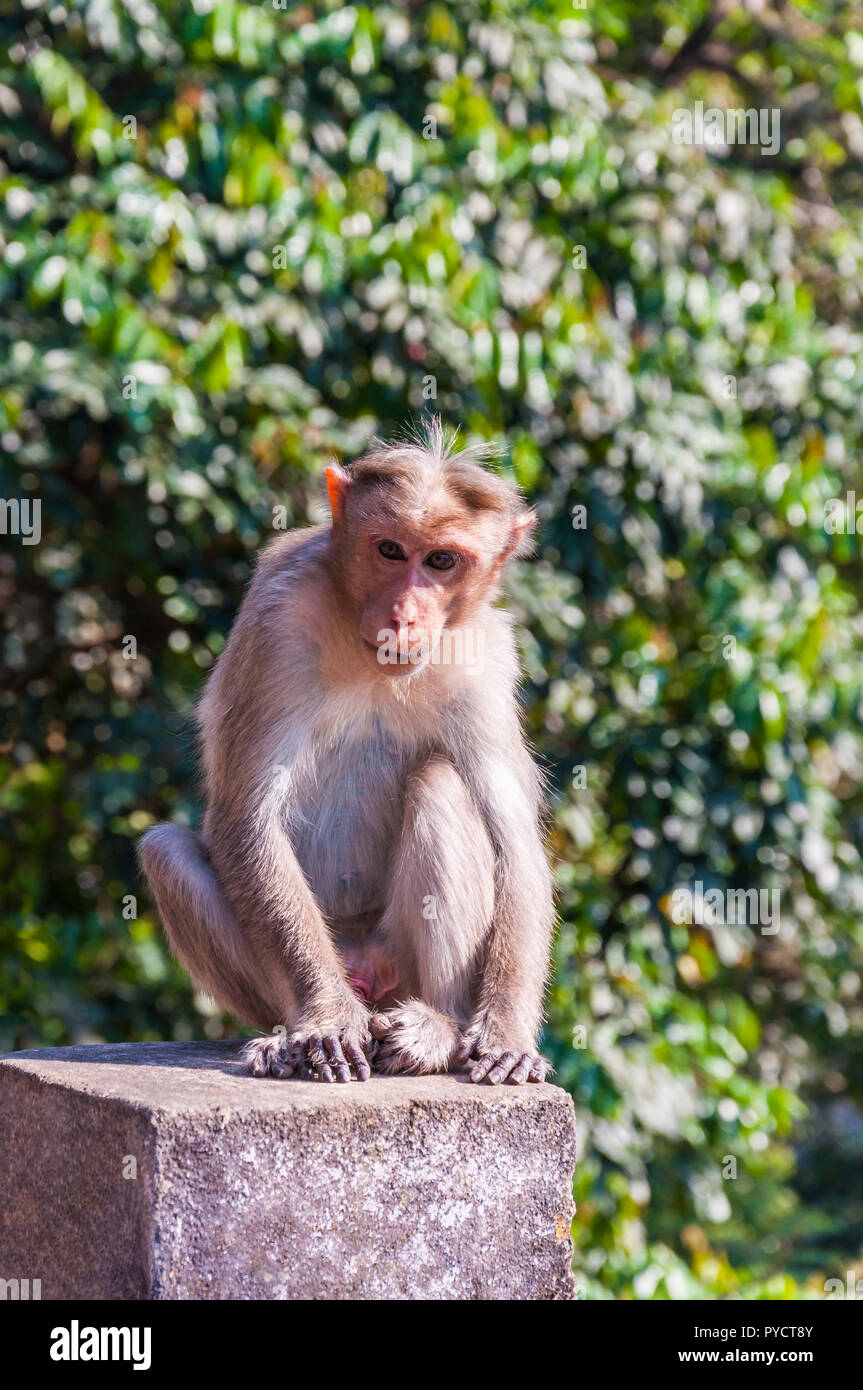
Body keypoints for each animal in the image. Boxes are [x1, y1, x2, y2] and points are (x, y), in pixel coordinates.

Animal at [139, 420, 555, 1085]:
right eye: (389, 550)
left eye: (441, 560)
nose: (403, 616)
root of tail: (368, 972)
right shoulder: (278, 619)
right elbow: (246, 818)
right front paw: (327, 1019)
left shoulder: (488, 661)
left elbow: (515, 843)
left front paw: (507, 1032)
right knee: (166, 852)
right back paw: (288, 1035)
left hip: (398, 960)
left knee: (441, 783)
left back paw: (437, 1028)